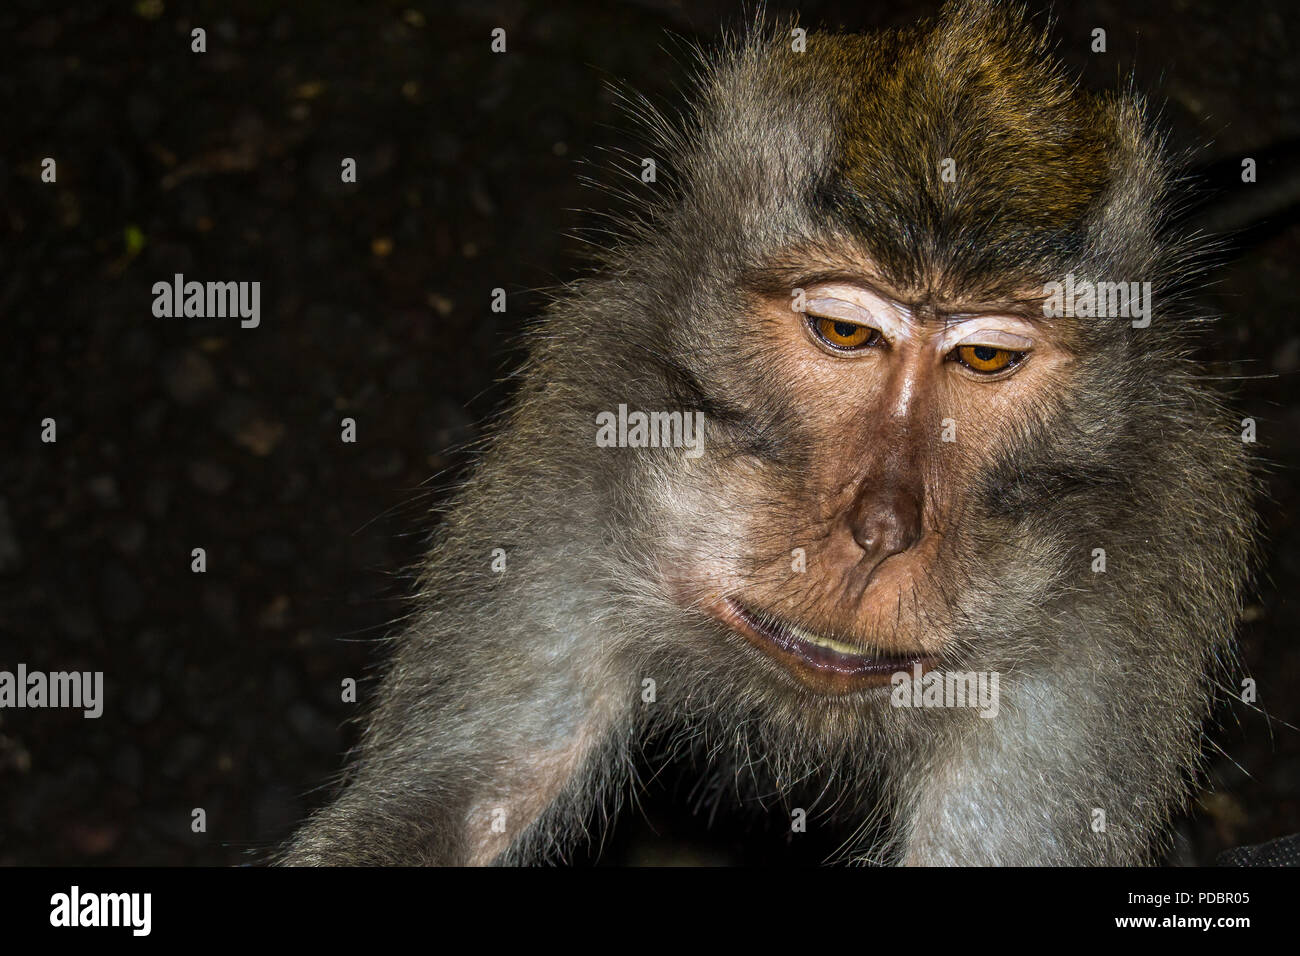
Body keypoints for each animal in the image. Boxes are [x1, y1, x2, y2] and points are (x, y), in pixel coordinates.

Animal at [281, 0, 1257, 866]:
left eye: (984, 356)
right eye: (845, 332)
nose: (881, 532)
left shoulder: (1131, 589)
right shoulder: (580, 451)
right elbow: (460, 805)